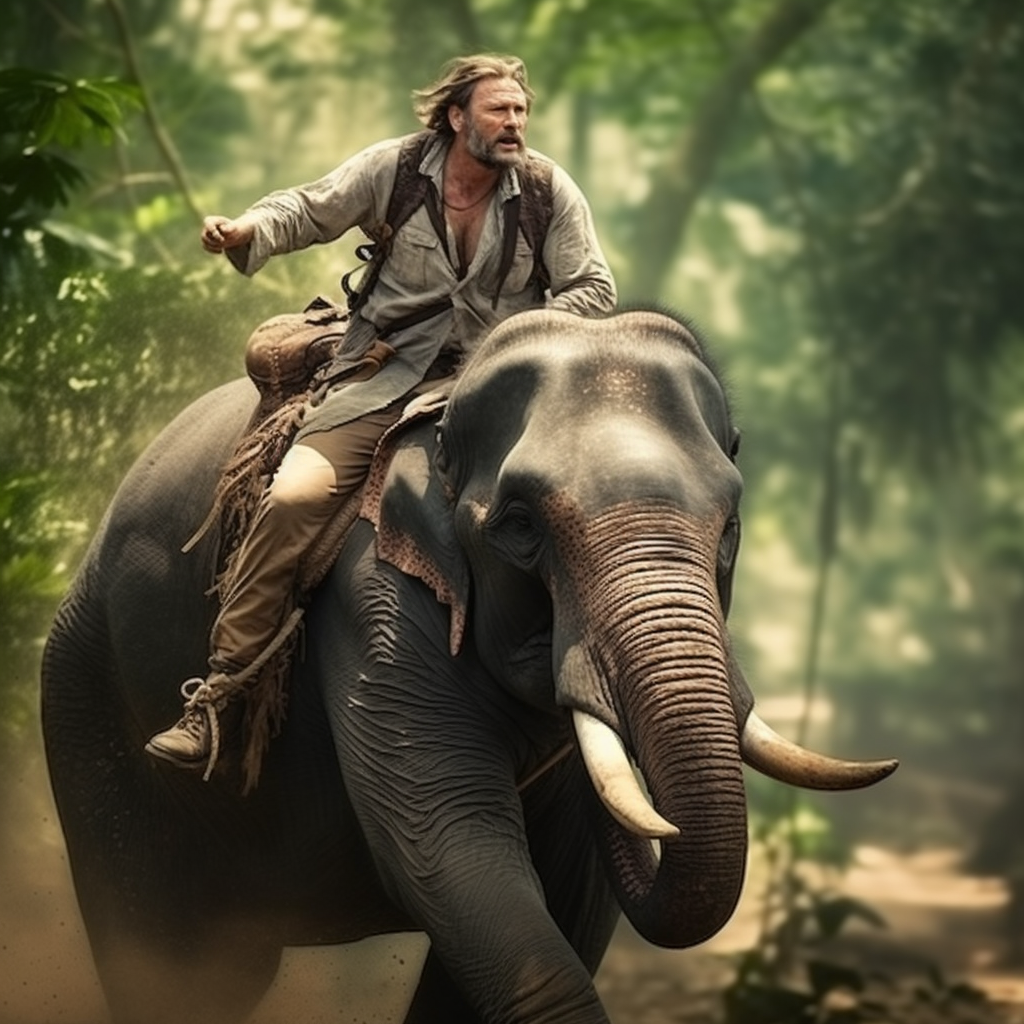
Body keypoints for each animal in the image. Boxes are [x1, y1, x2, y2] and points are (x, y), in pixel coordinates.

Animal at [41, 307, 896, 1024]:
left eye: (730, 526)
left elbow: (566, 898)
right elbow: (450, 848)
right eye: (519, 527)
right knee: (159, 954)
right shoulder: (376, 597)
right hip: (86, 691)